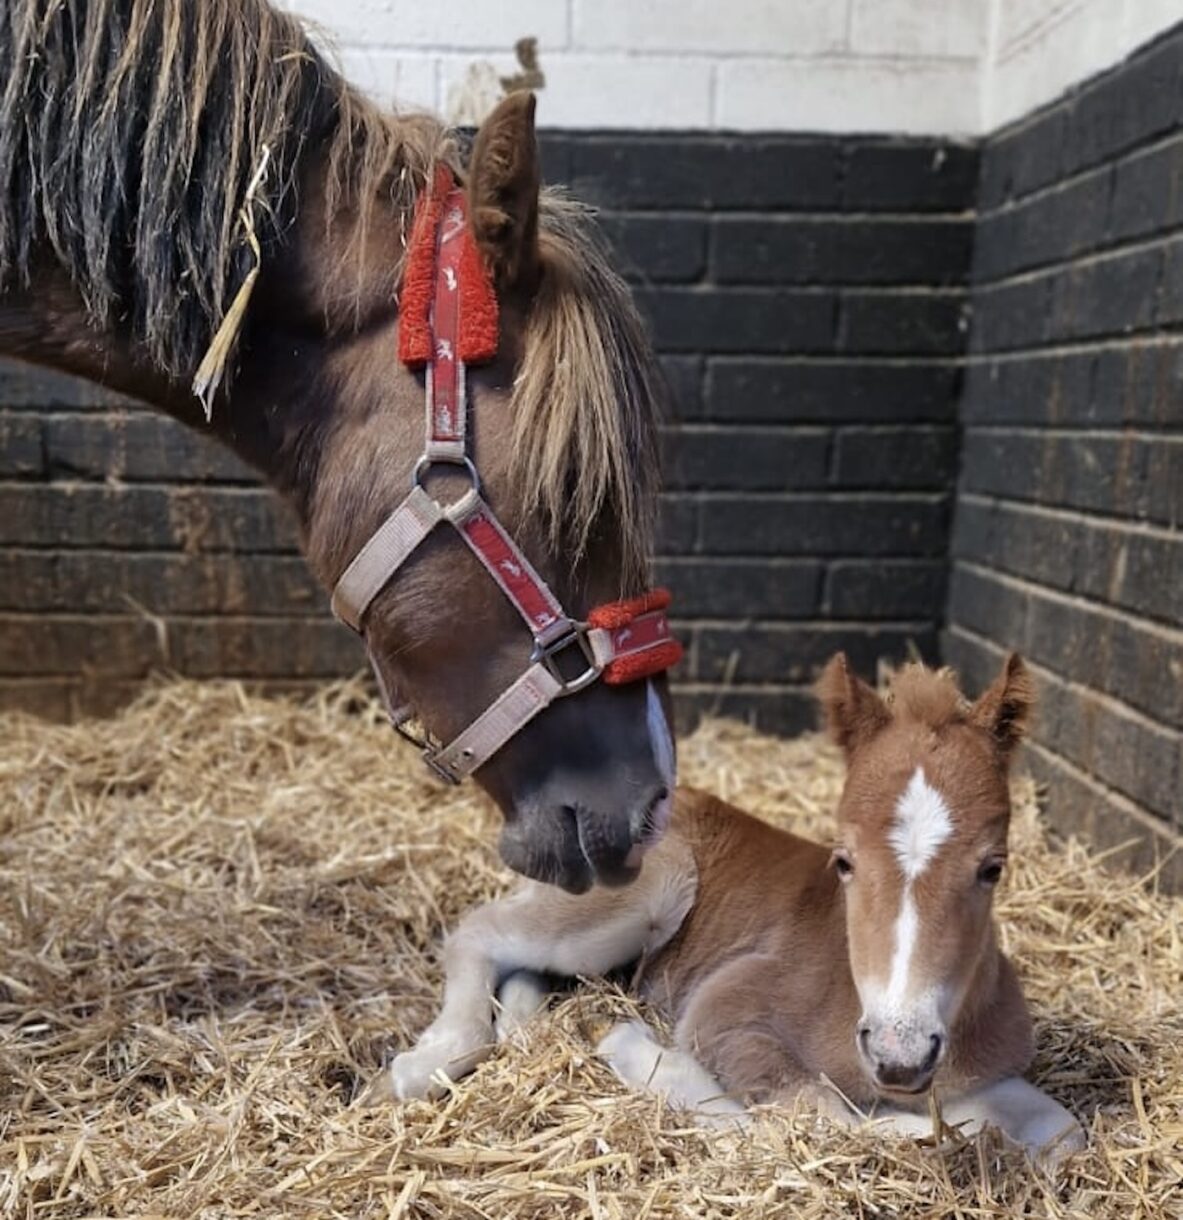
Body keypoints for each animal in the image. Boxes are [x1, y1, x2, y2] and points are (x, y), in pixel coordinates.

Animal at [387, 652, 1086, 1161]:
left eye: (993, 868)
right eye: (844, 861)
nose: (900, 1054)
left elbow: (1059, 1133)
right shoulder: (730, 1008)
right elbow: (816, 1118)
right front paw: (638, 1050)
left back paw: (523, 1024)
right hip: (645, 896)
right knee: (478, 932)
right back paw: (424, 1064)